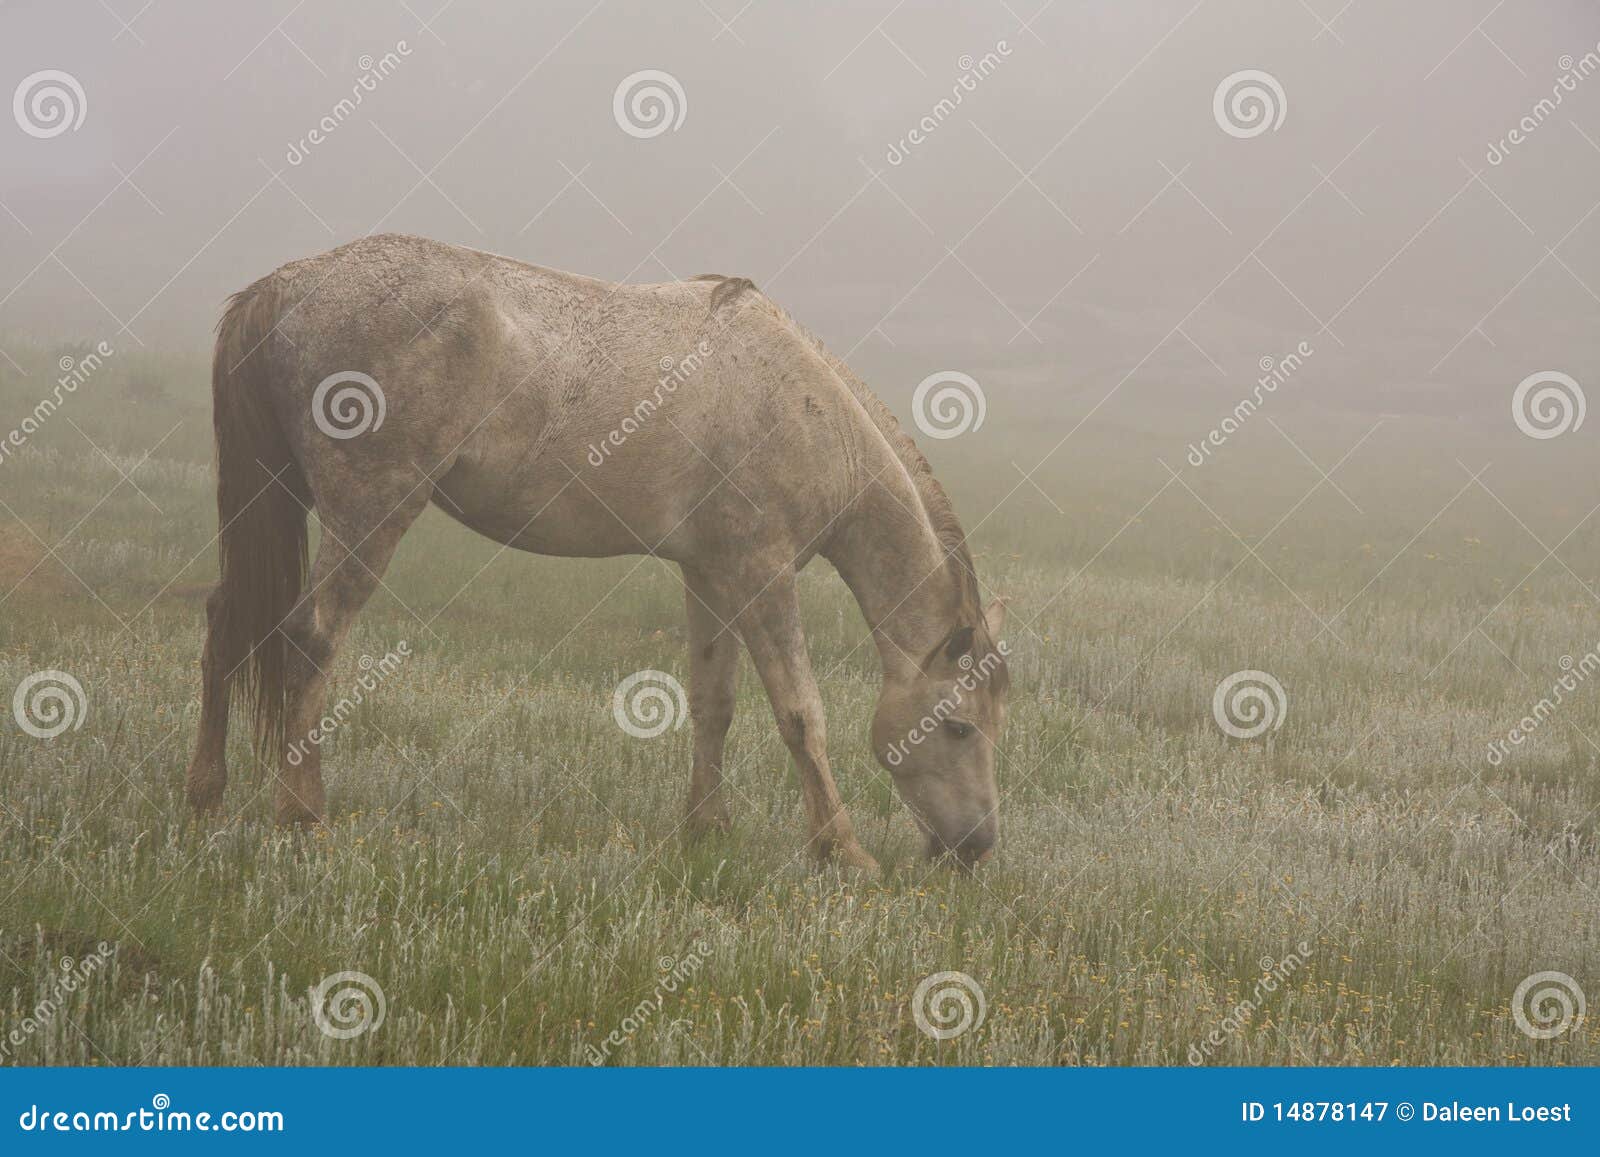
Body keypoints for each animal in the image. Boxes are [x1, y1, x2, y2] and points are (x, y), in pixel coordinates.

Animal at [183, 234, 1009, 871]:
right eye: (959, 726)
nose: (975, 847)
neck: (805, 407)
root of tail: (286, 286)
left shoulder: (711, 575)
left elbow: (714, 702)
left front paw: (707, 829)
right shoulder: (762, 574)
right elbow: (801, 711)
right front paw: (843, 850)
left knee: (227, 619)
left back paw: (206, 794)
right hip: (371, 512)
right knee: (311, 636)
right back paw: (303, 814)